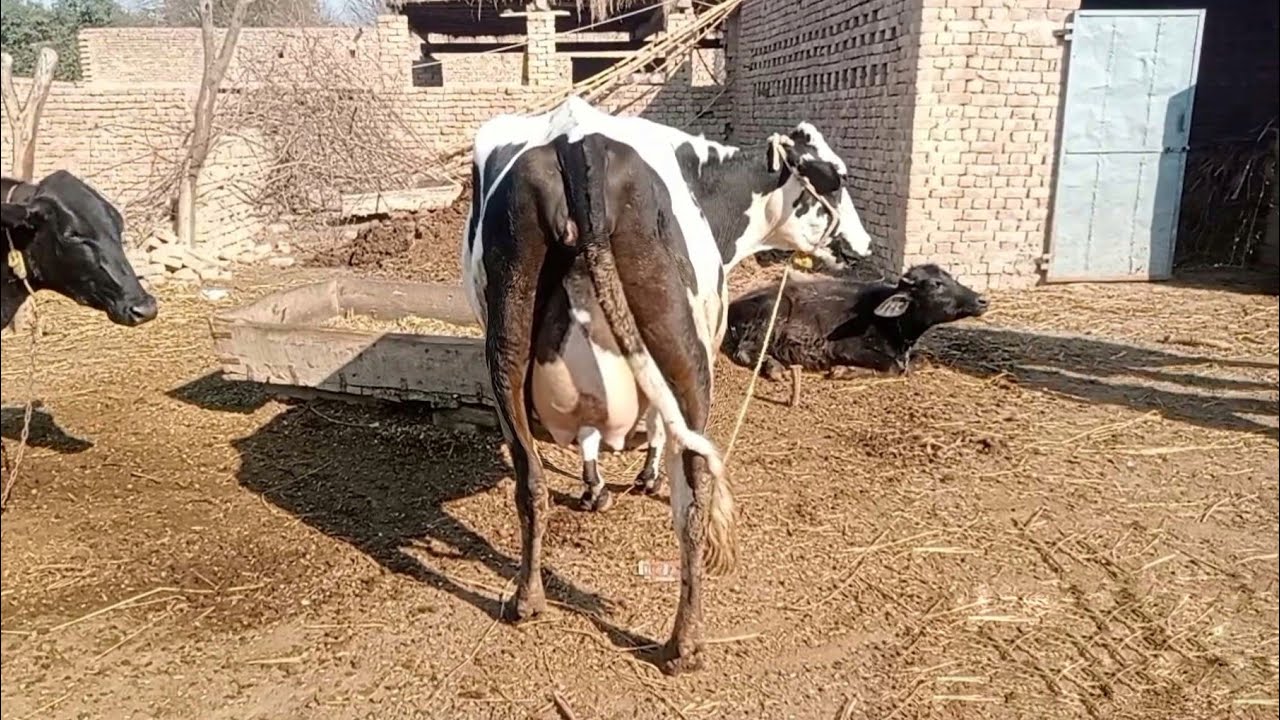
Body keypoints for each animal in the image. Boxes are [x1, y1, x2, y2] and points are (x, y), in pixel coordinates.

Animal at [462, 96, 870, 674]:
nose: (862, 245)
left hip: (504, 349)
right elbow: (657, 431)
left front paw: (594, 487)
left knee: (531, 484)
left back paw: (528, 598)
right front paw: (646, 475)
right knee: (694, 500)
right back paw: (686, 643)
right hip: (690, 358)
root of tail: (576, 142)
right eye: (834, 177)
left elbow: (590, 443)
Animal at [722, 263, 989, 386]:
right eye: (936, 284)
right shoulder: (843, 348)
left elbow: (918, 360)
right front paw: (843, 371)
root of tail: (733, 305)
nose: (982, 300)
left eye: (950, 278)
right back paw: (775, 368)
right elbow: (893, 365)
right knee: (745, 351)